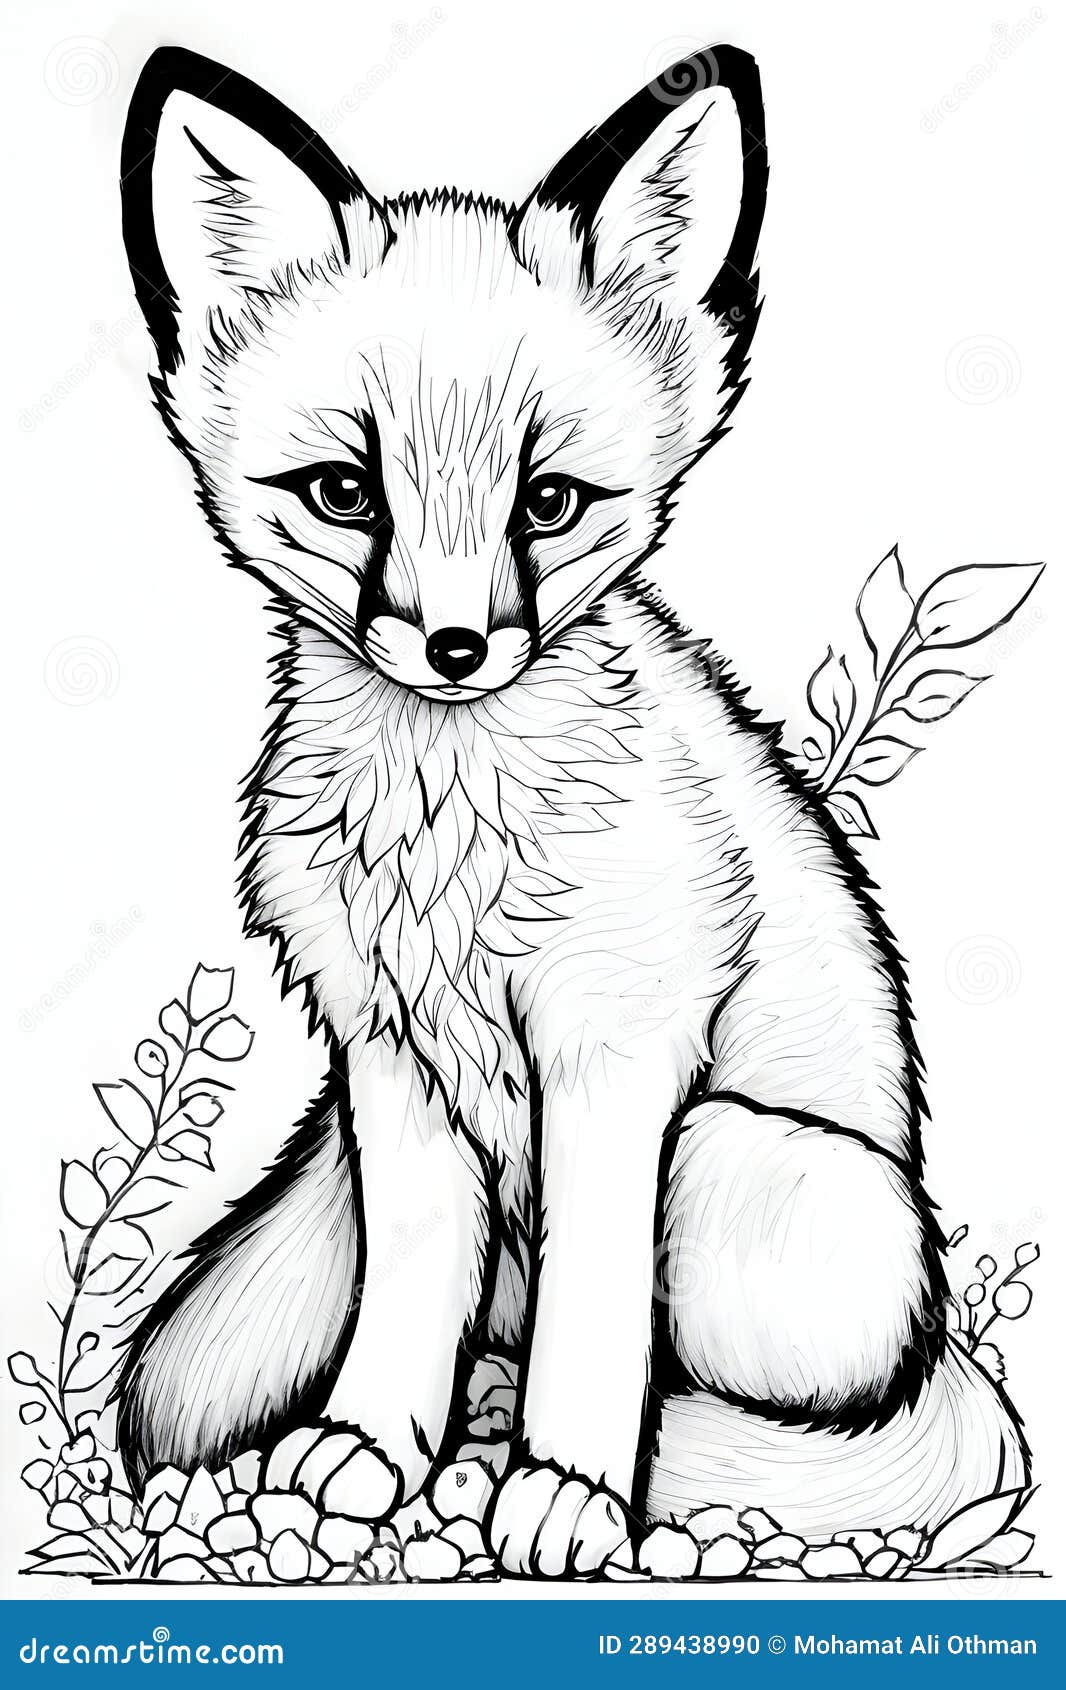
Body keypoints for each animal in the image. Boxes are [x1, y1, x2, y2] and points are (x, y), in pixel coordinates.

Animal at [116, 43, 1027, 1575]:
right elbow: (408, 1285)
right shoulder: (390, 1057)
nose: (454, 648)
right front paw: (371, 1448)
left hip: (729, 1165)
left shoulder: (614, 1051)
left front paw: (569, 1490)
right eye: (344, 492)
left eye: (548, 502)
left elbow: (596, 1311)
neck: (449, 855)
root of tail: (946, 1357)